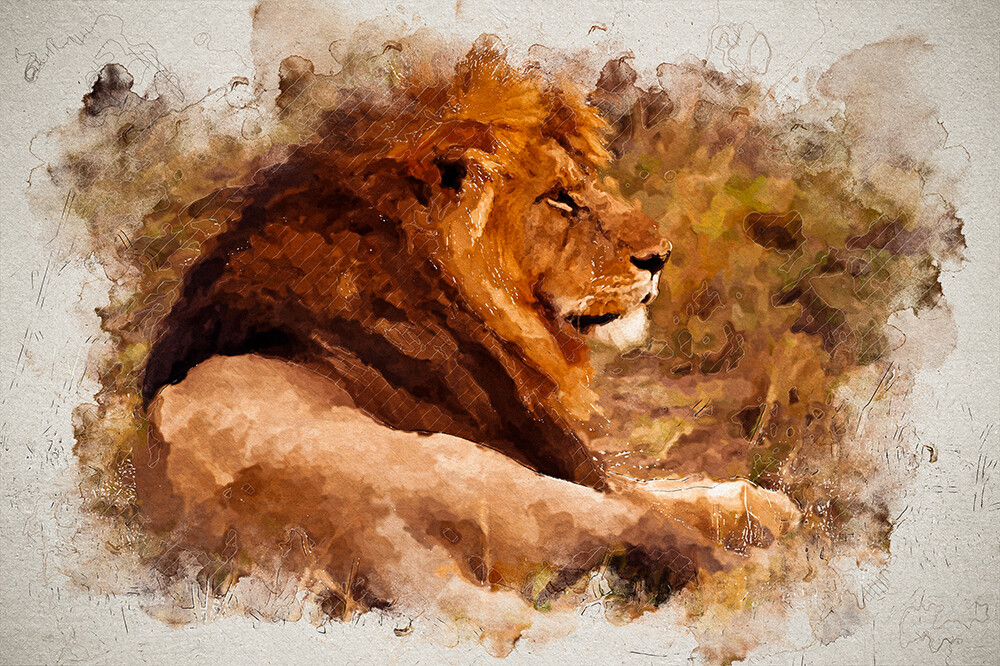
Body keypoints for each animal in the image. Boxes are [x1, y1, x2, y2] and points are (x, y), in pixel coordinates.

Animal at [132, 41, 800, 643]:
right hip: (503, 478)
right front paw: (771, 504)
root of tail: (353, 535)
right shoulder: (568, 461)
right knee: (658, 533)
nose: (661, 257)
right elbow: (663, 490)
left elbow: (672, 484)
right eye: (560, 198)